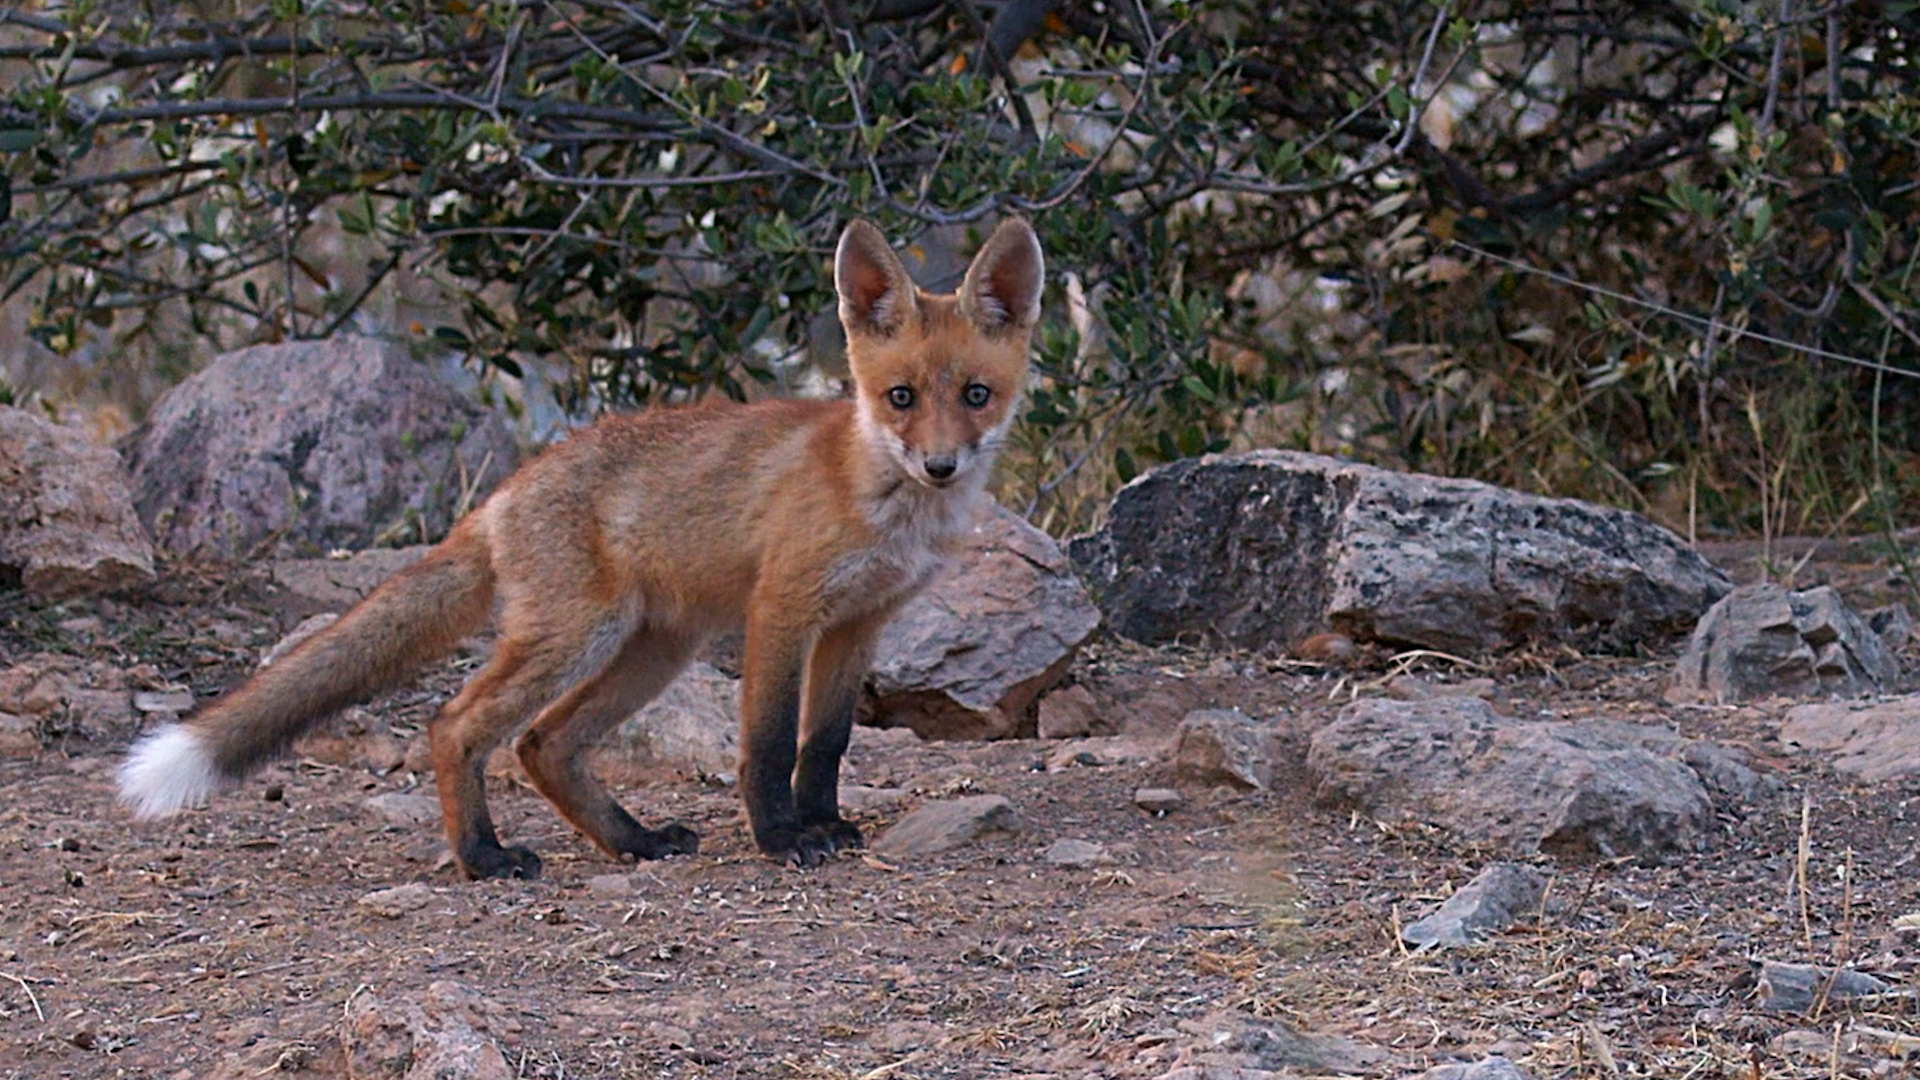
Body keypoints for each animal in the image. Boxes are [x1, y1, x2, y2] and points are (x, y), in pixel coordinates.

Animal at [118, 217, 1044, 880]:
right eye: (900, 397)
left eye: (975, 395)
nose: (939, 464)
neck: (879, 500)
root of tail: (502, 495)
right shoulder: (783, 609)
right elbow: (772, 743)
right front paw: (782, 838)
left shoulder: (861, 622)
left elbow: (826, 745)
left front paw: (821, 822)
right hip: (580, 638)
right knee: (458, 725)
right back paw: (484, 858)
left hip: (654, 651)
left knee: (544, 744)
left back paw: (632, 842)